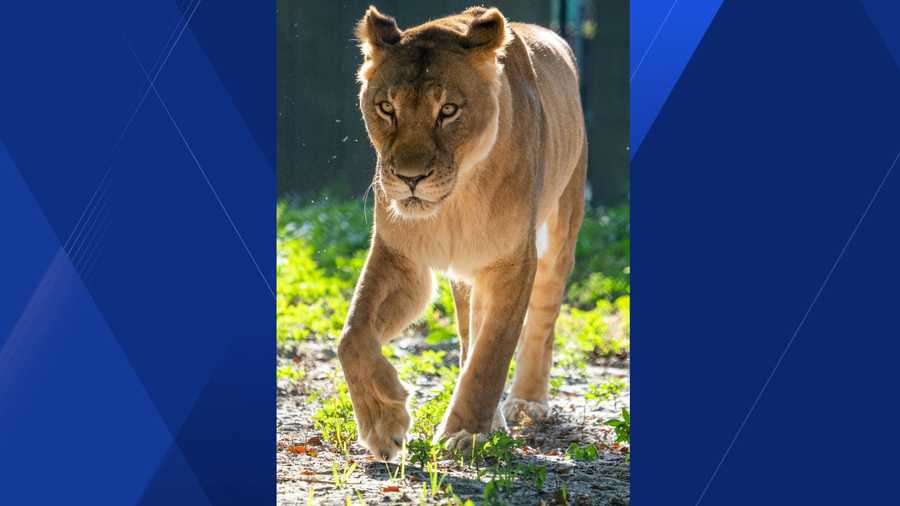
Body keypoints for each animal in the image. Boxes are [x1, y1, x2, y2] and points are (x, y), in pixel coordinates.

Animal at [337, 5, 586, 461]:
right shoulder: (400, 255)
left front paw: (467, 433)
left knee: (541, 321)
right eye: (387, 107)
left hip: (560, 232)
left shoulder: (512, 263)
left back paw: (526, 402)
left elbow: (491, 355)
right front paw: (384, 423)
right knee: (469, 333)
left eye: (449, 110)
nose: (410, 178)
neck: (456, 203)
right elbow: (353, 335)